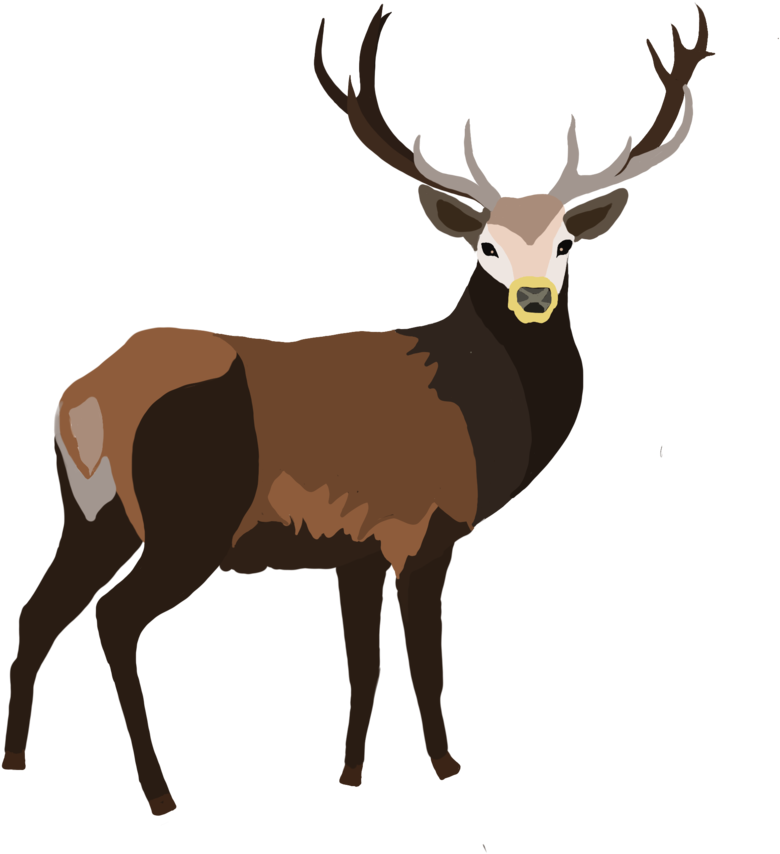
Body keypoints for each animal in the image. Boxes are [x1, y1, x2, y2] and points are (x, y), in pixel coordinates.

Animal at [2, 3, 714, 817]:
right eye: (486, 248)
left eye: (566, 243)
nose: (533, 298)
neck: (479, 415)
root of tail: (83, 400)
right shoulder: (424, 528)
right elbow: (425, 660)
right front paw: (446, 767)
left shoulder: (355, 546)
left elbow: (364, 662)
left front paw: (348, 774)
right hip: (190, 521)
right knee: (115, 620)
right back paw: (160, 794)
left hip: (91, 513)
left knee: (37, 613)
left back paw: (15, 758)